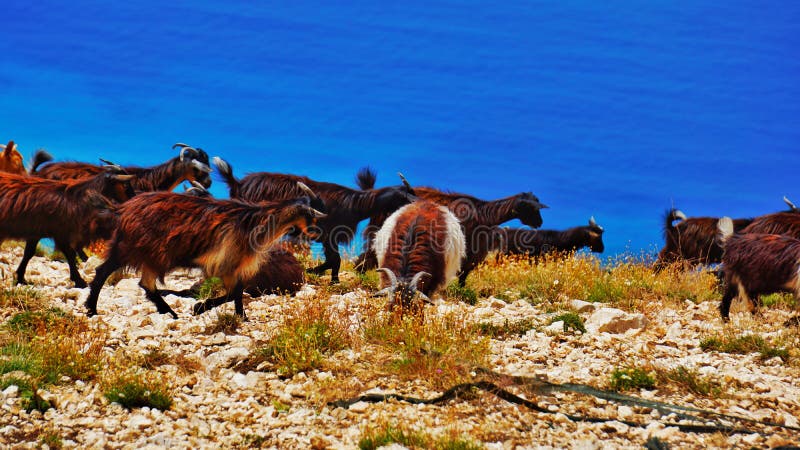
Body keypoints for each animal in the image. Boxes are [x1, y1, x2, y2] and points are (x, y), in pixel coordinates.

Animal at [0, 171, 134, 287]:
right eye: (125, 185)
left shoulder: (37, 233)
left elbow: (29, 253)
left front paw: (20, 278)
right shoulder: (59, 233)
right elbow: (70, 254)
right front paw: (80, 281)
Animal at [85, 166, 325, 319]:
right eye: (310, 215)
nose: (316, 232)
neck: (255, 221)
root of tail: (121, 209)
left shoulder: (233, 266)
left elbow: (237, 293)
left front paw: (240, 316)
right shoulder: (227, 261)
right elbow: (234, 293)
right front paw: (200, 307)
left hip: (147, 254)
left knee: (146, 284)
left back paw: (169, 312)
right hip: (132, 248)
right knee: (104, 272)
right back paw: (92, 309)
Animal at [215, 159, 415, 283]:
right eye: (404, 196)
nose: (417, 204)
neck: (354, 204)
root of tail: (237, 183)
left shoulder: (329, 237)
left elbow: (333, 260)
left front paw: (328, 277)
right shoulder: (329, 234)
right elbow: (335, 260)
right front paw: (325, 276)